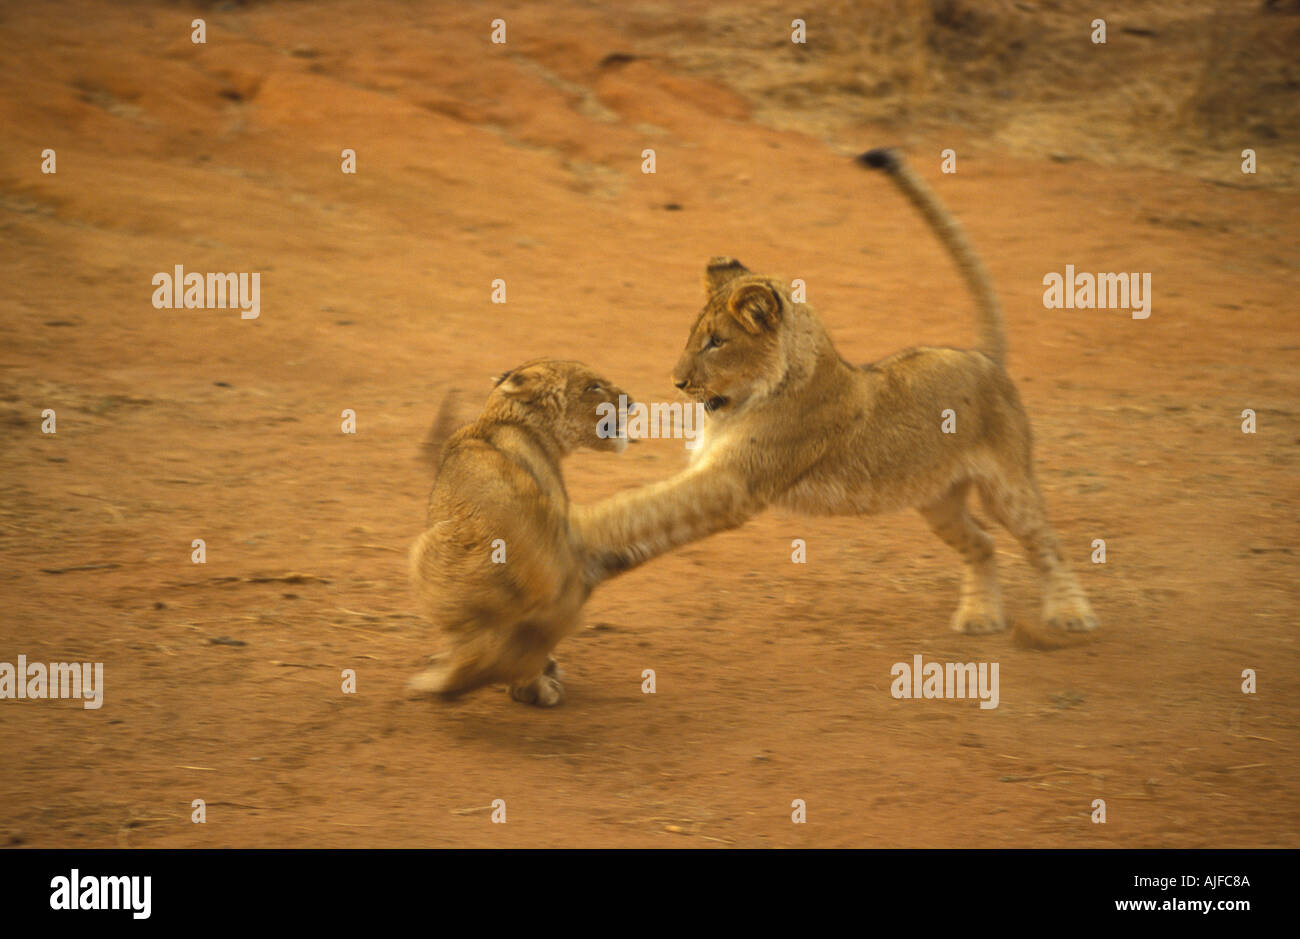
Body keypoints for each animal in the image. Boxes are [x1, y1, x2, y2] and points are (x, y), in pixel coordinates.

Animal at [572, 149, 1098, 639]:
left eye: (716, 342)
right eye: (693, 336)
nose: (676, 382)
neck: (739, 401)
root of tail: (980, 356)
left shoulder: (735, 483)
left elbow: (642, 507)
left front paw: (581, 526)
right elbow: (650, 509)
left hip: (1007, 484)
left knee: (1046, 542)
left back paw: (1072, 614)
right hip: (938, 499)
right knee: (984, 543)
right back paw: (980, 616)